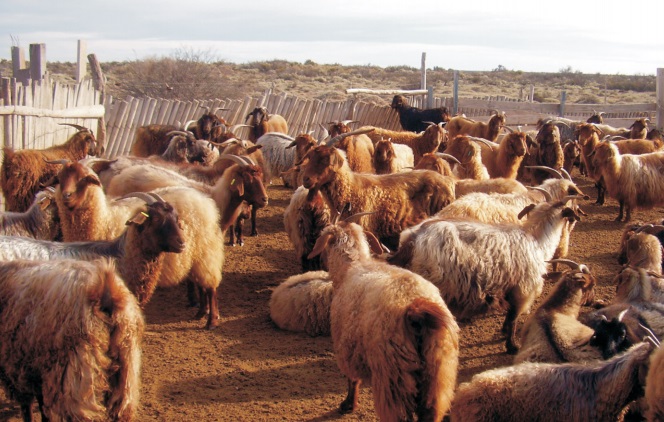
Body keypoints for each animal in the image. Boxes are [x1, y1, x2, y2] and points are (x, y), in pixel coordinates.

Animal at [0, 258, 143, 421]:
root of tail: (105, 287)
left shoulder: (17, 368)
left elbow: (30, 407)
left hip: (74, 373)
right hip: (127, 365)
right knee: (123, 409)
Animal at [308, 218, 459, 421]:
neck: (352, 266)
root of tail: (415, 307)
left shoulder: (346, 347)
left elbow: (352, 380)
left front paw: (348, 405)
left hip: (392, 376)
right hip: (438, 373)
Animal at [389, 196, 583, 354]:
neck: (536, 239)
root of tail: (412, 239)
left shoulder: (511, 289)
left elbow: (510, 316)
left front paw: (504, 332)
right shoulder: (523, 290)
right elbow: (514, 318)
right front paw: (512, 346)